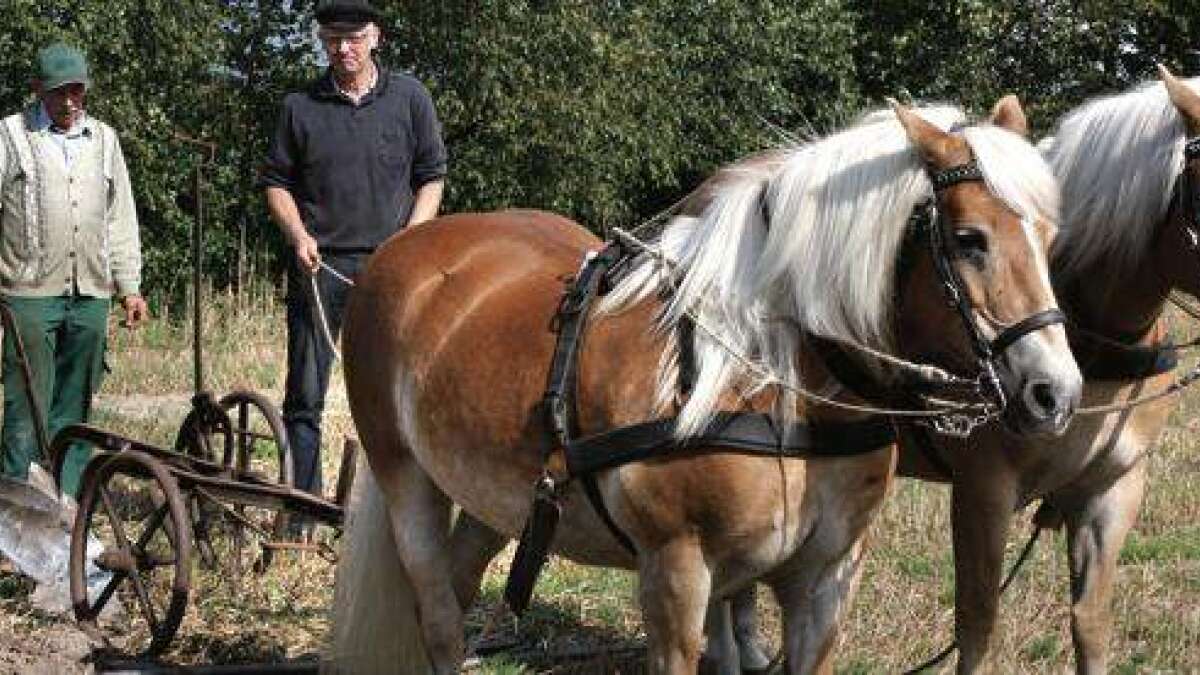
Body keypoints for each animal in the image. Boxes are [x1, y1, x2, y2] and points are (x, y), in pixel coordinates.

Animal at [328, 97, 1082, 674]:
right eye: (970, 238)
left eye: (1049, 237)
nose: (1057, 393)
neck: (771, 383)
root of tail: (401, 250)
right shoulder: (677, 574)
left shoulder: (825, 585)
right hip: (404, 477)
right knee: (438, 615)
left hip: (493, 496)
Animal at [721, 68, 1200, 673]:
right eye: (969, 240)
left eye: (1052, 236)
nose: (1054, 395)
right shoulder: (982, 490)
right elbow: (978, 625)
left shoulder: (1114, 488)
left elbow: (1091, 624)